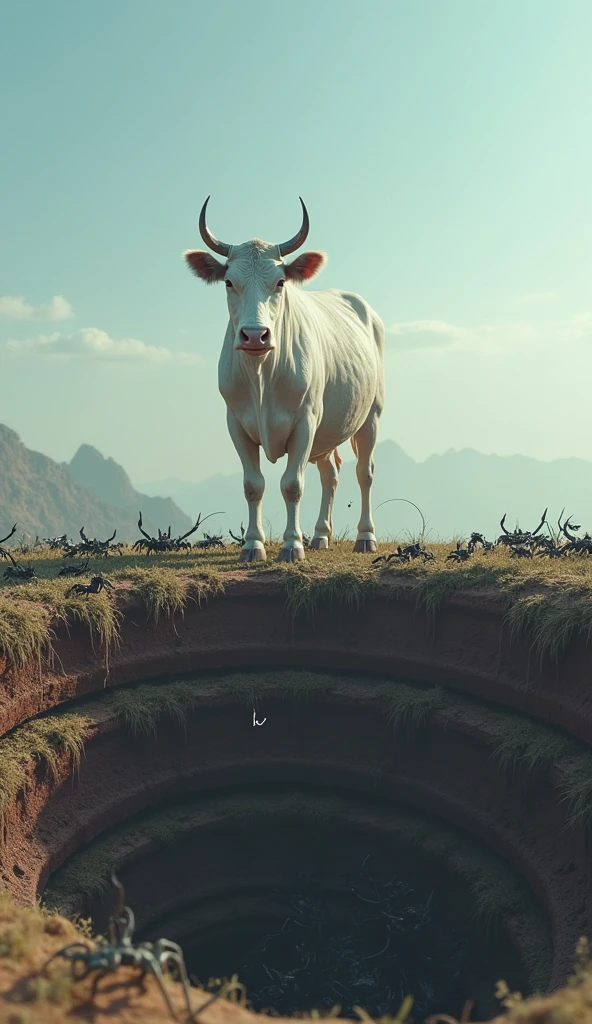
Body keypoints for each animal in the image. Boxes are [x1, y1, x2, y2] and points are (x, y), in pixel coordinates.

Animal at [183, 197, 385, 563]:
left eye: (280, 282)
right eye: (229, 282)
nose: (254, 335)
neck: (262, 375)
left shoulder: (305, 420)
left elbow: (292, 484)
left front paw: (292, 545)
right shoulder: (236, 422)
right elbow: (254, 485)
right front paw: (253, 544)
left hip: (371, 416)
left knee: (365, 472)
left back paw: (365, 536)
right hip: (328, 431)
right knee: (330, 472)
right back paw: (321, 535)